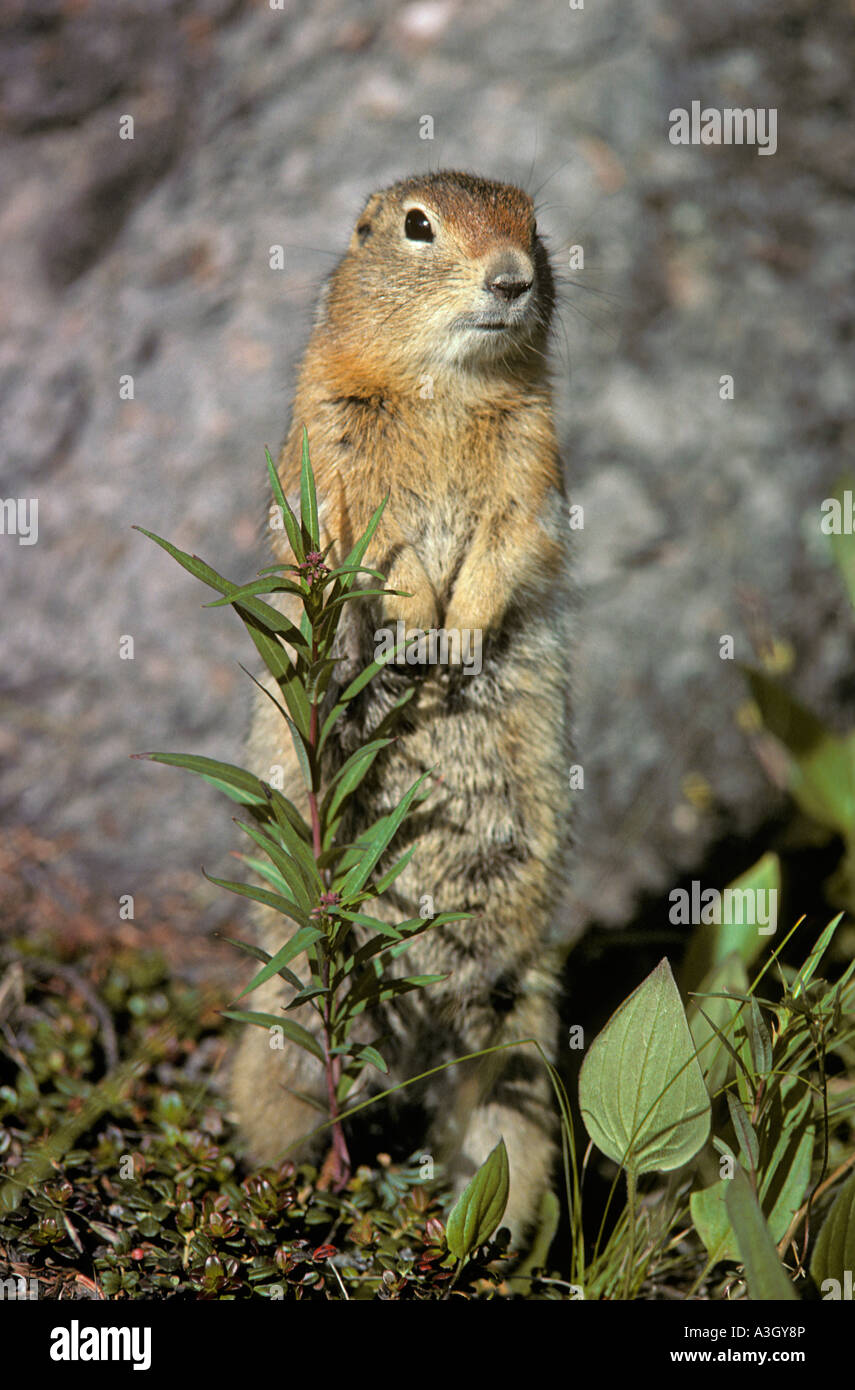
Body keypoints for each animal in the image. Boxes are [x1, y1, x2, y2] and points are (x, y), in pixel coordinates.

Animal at [229, 170, 574, 1244]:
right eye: (417, 227)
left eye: (533, 224)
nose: (510, 278)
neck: (446, 385)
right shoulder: (340, 438)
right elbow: (387, 550)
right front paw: (424, 628)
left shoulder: (532, 455)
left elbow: (508, 542)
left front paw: (460, 637)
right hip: (287, 1036)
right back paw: (281, 1193)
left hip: (517, 1034)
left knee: (497, 1134)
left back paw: (488, 1233)